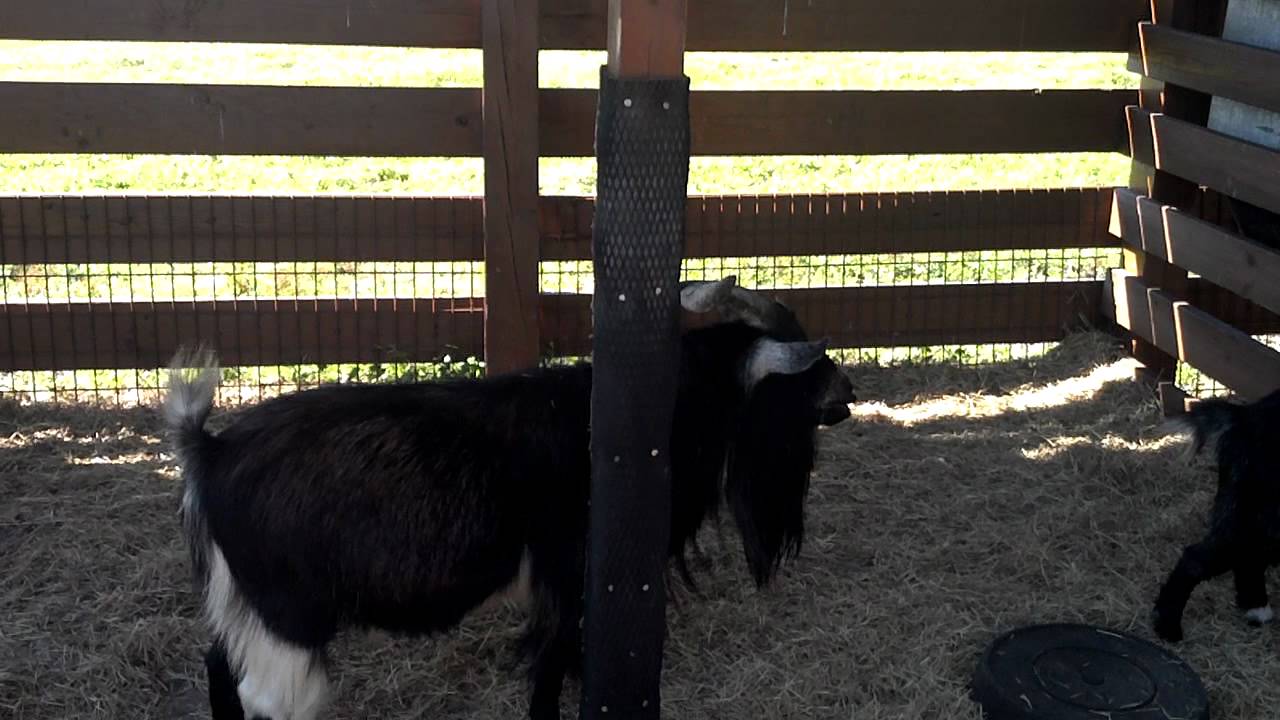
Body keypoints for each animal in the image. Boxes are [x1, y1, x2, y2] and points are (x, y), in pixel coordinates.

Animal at [165, 276, 857, 720]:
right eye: (808, 374)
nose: (849, 392)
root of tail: (211, 451)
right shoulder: (569, 586)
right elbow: (548, 680)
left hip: (245, 607)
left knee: (218, 668)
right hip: (291, 620)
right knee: (268, 700)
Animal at [1153, 387, 1280, 643]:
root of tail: (1244, 416)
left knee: (1248, 556)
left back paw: (1256, 609)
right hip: (1260, 513)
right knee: (1199, 558)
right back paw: (1168, 627)